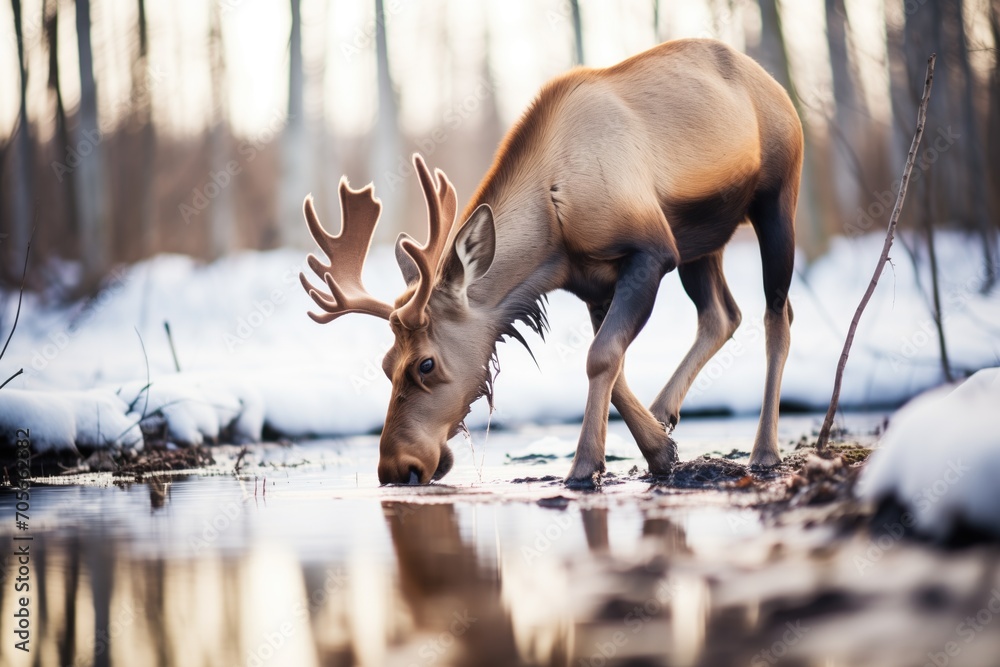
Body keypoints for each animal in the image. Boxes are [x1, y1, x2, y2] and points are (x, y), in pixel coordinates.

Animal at [300, 38, 802, 487]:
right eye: (386, 363)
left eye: (425, 364)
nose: (394, 467)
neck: (554, 231)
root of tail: (775, 86)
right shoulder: (592, 282)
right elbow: (615, 366)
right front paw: (660, 450)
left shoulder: (653, 250)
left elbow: (600, 356)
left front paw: (584, 467)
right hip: (704, 240)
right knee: (722, 314)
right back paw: (665, 409)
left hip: (776, 199)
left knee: (777, 315)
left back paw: (764, 450)